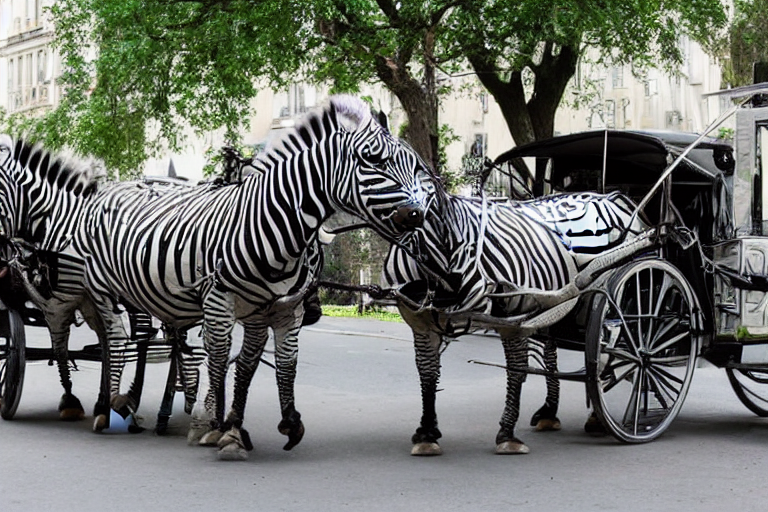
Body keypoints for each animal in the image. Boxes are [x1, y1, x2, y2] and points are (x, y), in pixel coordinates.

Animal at [72, 95, 437, 460]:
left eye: (414, 164)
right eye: (372, 160)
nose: (416, 214)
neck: (270, 226)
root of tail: (115, 186)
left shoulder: (280, 309)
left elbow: (273, 363)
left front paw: (267, 424)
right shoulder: (219, 300)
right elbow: (220, 358)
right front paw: (216, 427)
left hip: (142, 294)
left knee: (144, 339)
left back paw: (132, 403)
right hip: (103, 289)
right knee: (115, 341)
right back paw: (108, 409)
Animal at [384, 189, 648, 455]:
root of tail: (612, 197)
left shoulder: (515, 318)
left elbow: (517, 369)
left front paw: (507, 435)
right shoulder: (420, 322)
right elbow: (427, 371)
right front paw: (427, 433)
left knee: (604, 353)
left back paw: (600, 416)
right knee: (567, 352)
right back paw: (554, 413)